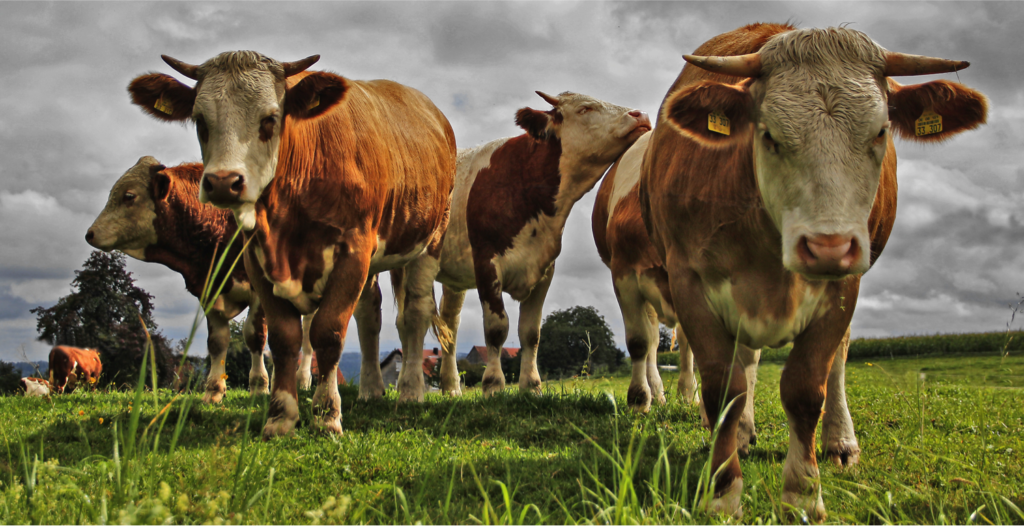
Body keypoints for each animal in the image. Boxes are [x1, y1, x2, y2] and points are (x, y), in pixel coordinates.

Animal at [86, 158, 271, 403]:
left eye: (129, 196)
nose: (90, 233)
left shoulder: (260, 289)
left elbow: (254, 335)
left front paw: (259, 388)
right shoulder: (209, 291)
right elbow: (217, 341)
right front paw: (213, 391)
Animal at [127, 51, 457, 437]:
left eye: (271, 118)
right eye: (200, 120)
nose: (223, 182)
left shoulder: (354, 249)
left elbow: (327, 332)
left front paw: (327, 414)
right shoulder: (257, 259)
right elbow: (284, 338)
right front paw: (281, 415)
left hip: (430, 238)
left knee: (415, 312)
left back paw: (409, 391)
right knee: (369, 313)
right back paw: (372, 388)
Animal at [430, 91, 650, 396]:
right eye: (584, 109)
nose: (641, 114)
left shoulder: (544, 268)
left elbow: (530, 333)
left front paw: (531, 386)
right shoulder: (486, 264)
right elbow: (497, 329)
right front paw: (493, 385)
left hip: (453, 279)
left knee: (449, 325)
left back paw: (451, 388)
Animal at [639, 23, 987, 519]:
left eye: (881, 131)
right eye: (768, 134)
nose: (829, 246)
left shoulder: (843, 288)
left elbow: (806, 390)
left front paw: (803, 495)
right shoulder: (688, 280)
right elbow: (725, 389)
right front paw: (723, 493)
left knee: (836, 361)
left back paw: (841, 442)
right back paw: (742, 436)